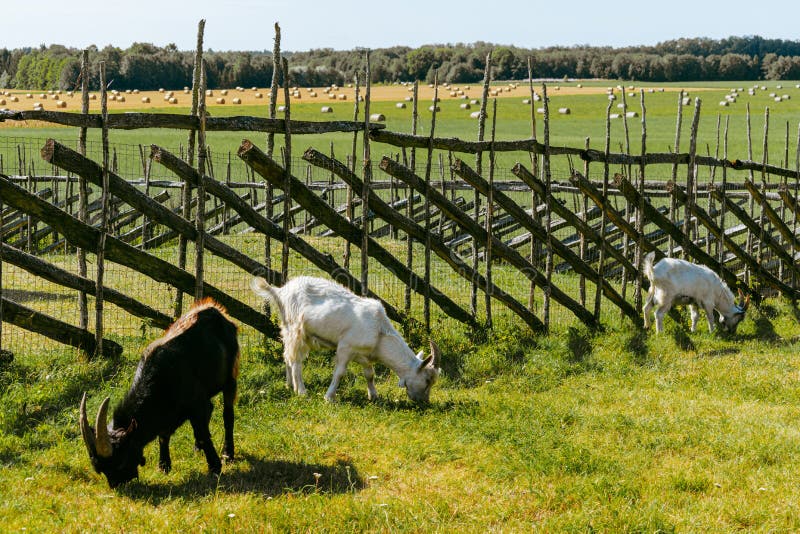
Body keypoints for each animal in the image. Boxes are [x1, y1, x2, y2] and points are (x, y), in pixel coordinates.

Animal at [79, 299, 239, 488]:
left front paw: (215, 466)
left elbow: (201, 433)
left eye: (120, 461)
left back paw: (228, 453)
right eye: (100, 469)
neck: (160, 374)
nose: (116, 484)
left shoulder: (196, 404)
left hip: (230, 378)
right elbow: (164, 435)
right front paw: (164, 465)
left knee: (227, 416)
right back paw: (197, 449)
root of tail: (216, 310)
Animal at [250, 276, 440, 403]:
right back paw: (301, 391)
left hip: (287, 328)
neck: (379, 331)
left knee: (287, 356)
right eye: (427, 380)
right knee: (296, 360)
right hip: (296, 328)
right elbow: (340, 372)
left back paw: (289, 385)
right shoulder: (345, 347)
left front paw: (373, 395)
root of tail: (281, 291)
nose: (424, 402)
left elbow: (370, 373)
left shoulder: (361, 353)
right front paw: (329, 397)